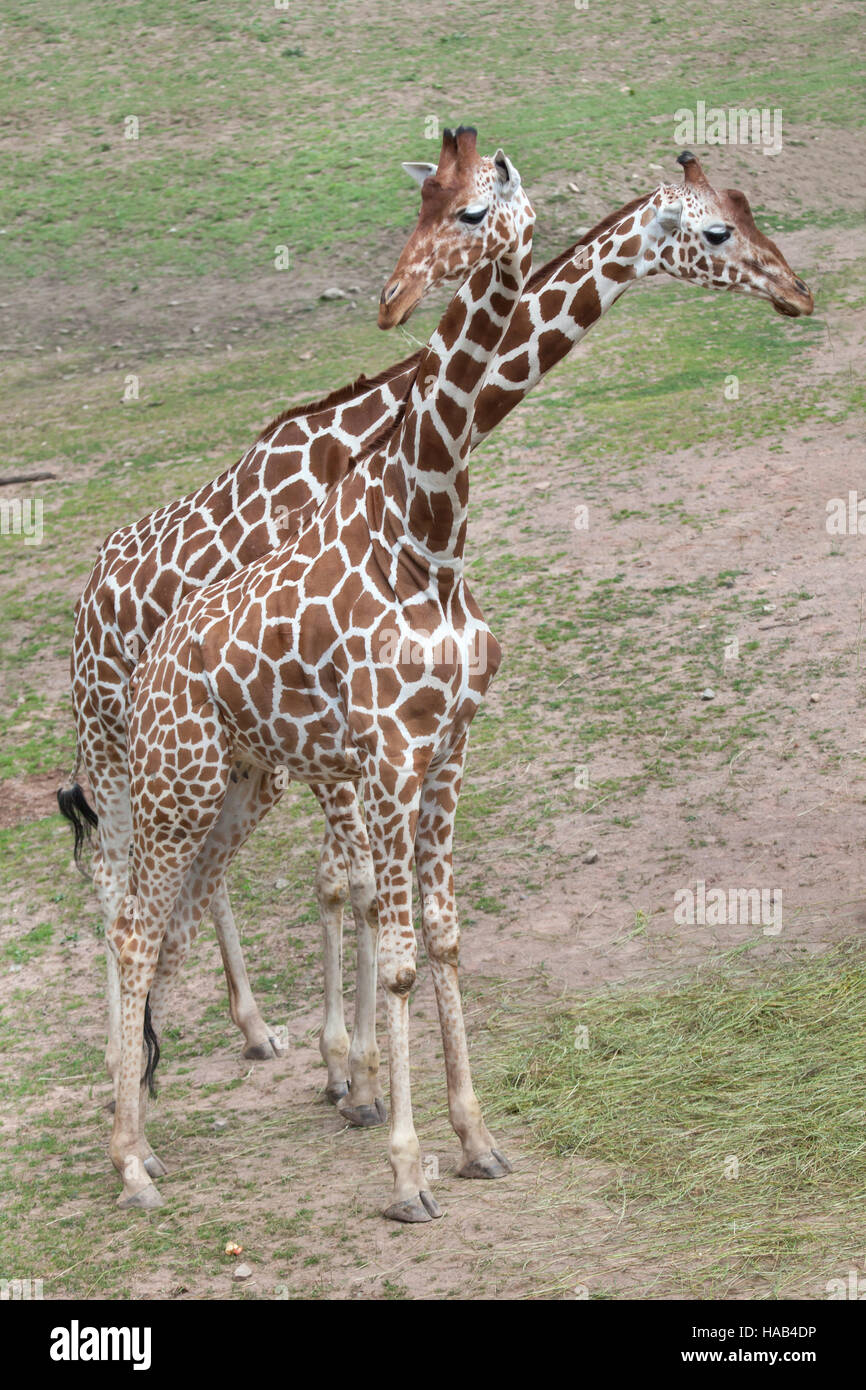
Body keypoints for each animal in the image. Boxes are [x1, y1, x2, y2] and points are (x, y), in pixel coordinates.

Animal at [60, 150, 813, 1122]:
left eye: (747, 209)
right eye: (716, 231)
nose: (796, 289)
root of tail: (86, 595)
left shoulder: (334, 742)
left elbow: (352, 888)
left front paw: (356, 1072)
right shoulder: (345, 728)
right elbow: (355, 887)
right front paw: (356, 1074)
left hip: (236, 764)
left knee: (197, 876)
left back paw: (248, 1033)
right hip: (120, 748)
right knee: (122, 882)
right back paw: (140, 1070)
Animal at [108, 126, 534, 1219]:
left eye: (473, 210)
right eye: (418, 203)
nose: (389, 298)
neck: (427, 537)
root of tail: (153, 663)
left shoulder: (449, 752)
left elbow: (443, 938)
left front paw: (476, 1141)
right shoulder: (386, 757)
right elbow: (395, 958)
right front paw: (406, 1170)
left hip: (235, 785)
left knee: (164, 923)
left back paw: (150, 1134)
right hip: (173, 787)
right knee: (132, 928)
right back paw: (130, 1162)